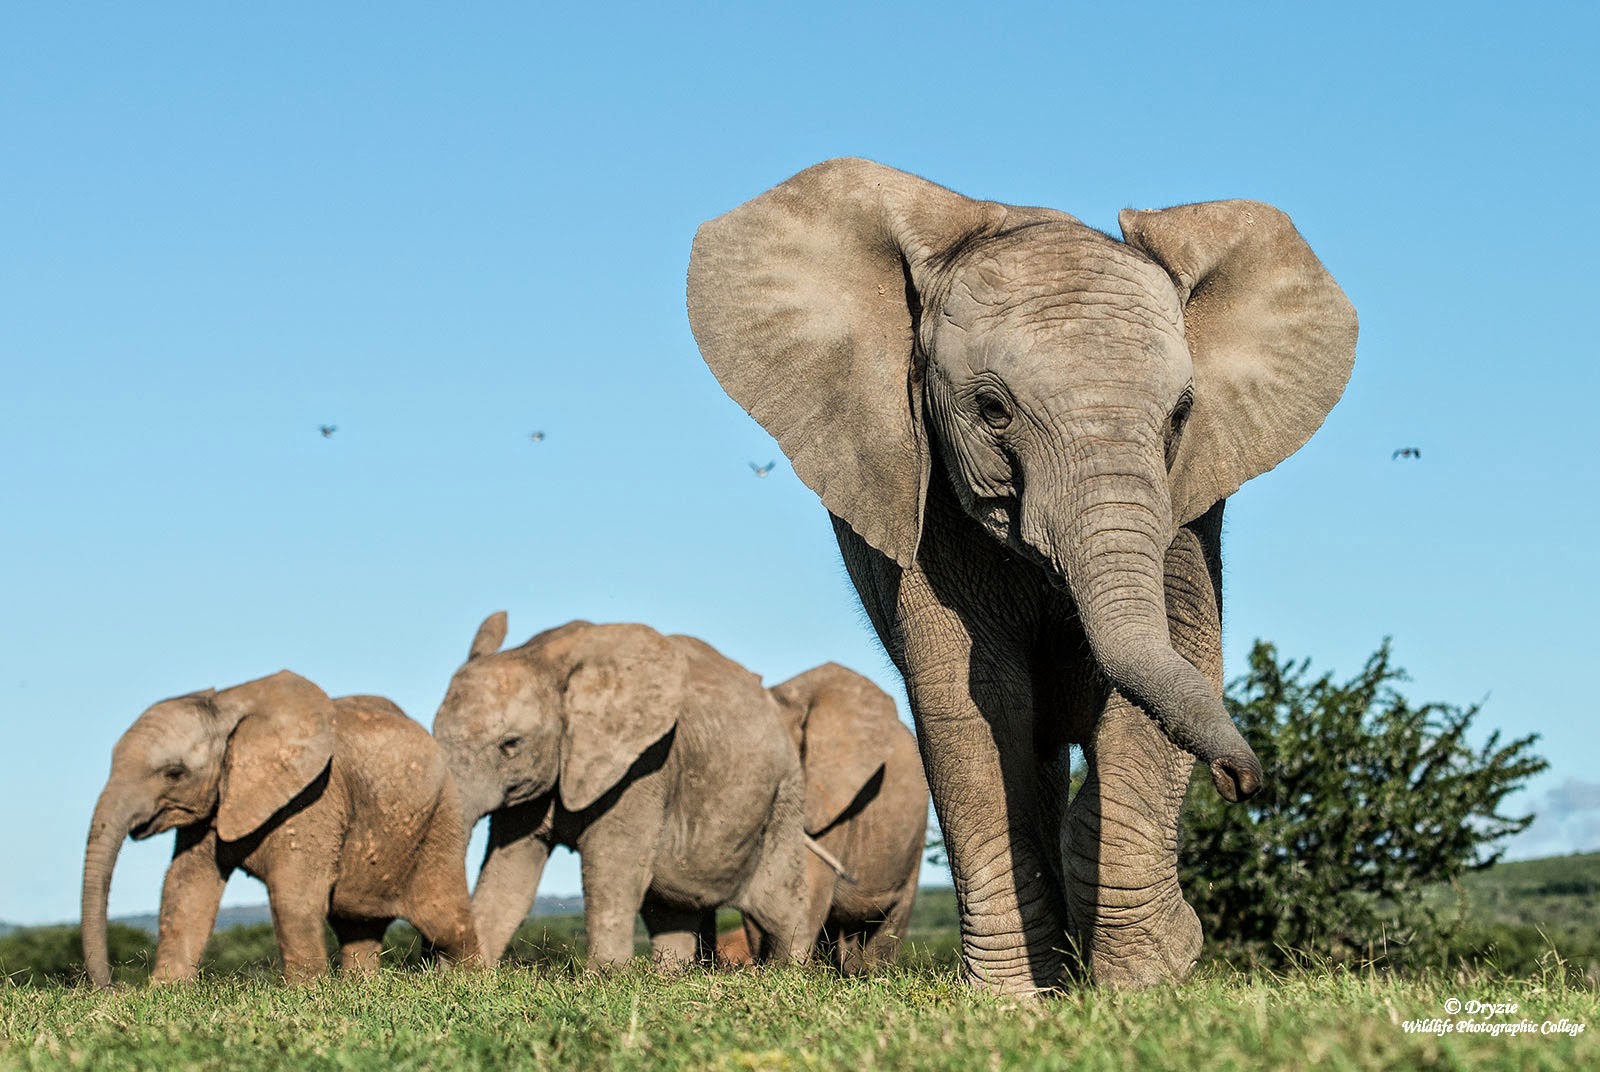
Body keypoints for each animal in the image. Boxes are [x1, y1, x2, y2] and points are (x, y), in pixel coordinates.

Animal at [81, 671, 480, 986]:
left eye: (173, 773)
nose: (110, 988)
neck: (230, 706)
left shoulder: (314, 796)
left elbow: (294, 895)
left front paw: (305, 993)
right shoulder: (214, 804)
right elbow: (185, 888)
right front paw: (166, 992)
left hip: (441, 817)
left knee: (445, 919)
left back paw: (474, 981)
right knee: (358, 927)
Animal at [432, 612, 813, 969]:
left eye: (511, 744)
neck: (544, 655)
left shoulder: (645, 762)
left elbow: (612, 864)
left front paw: (605, 977)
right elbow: (510, 872)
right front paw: (465, 977)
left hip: (783, 792)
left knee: (779, 899)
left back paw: (791, 971)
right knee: (671, 910)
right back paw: (670, 976)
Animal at [686, 158, 1356, 993]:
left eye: (1181, 414)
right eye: (992, 409)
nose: (1244, 779)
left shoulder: (1188, 501)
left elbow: (1179, 657)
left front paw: (1146, 977)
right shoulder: (925, 491)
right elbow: (972, 700)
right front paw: (1019, 1000)